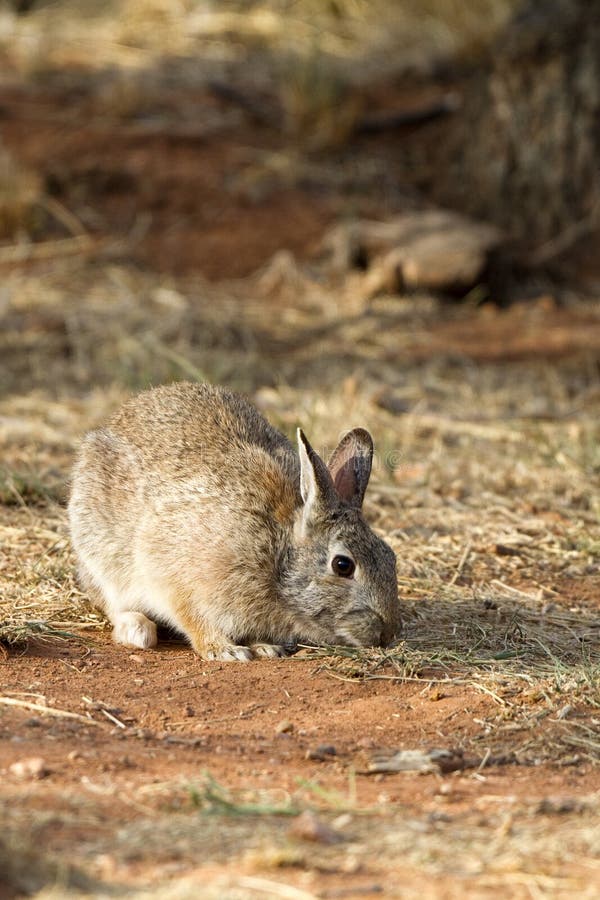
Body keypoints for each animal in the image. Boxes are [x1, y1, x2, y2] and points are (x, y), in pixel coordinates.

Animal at [68, 382, 400, 660]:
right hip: (101, 555)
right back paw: (138, 630)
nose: (386, 634)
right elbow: (191, 616)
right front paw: (224, 650)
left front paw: (264, 646)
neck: (278, 553)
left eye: (391, 557)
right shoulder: (173, 571)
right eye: (343, 565)